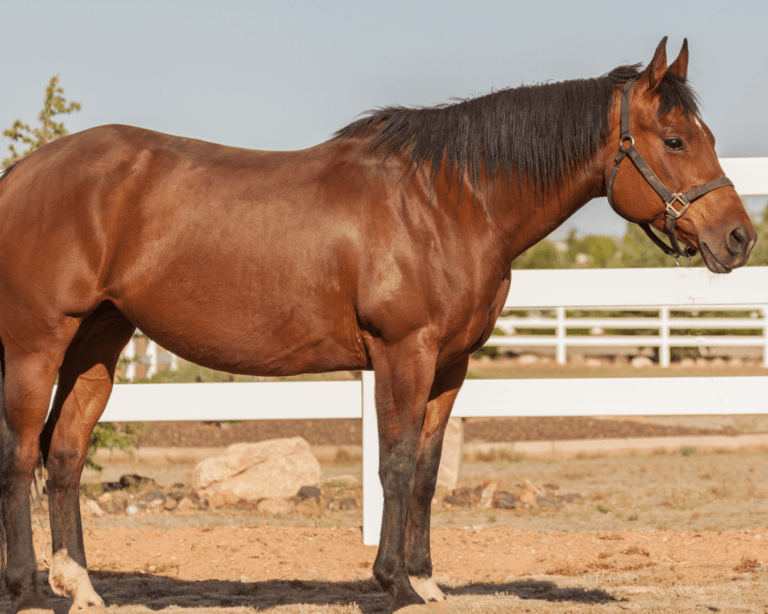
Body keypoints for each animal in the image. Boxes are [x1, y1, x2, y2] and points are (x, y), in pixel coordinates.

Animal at [0, 37, 755, 614]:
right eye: (676, 140)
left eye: (708, 137)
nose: (740, 238)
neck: (449, 202)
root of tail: (20, 175)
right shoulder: (403, 353)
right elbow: (393, 464)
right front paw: (391, 584)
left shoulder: (450, 364)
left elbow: (424, 470)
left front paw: (425, 581)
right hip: (37, 347)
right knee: (20, 457)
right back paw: (26, 589)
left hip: (99, 344)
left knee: (64, 455)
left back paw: (81, 587)